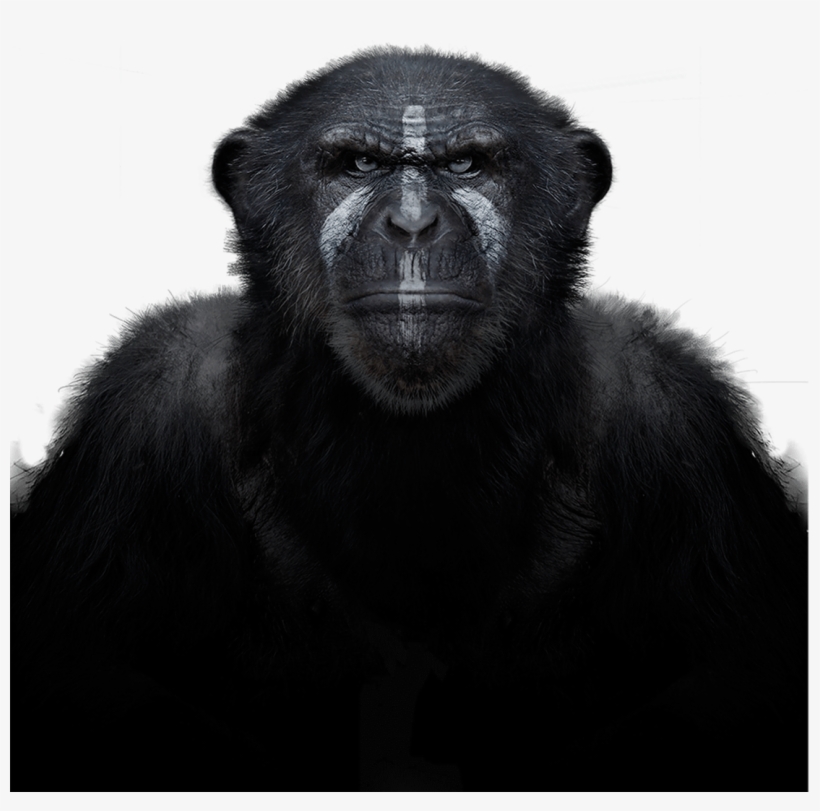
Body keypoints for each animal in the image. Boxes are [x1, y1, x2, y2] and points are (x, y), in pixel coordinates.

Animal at [12, 47, 807, 791]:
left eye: (467, 164)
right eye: (358, 164)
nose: (414, 223)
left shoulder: (671, 415)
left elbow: (737, 672)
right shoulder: (148, 403)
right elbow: (83, 667)